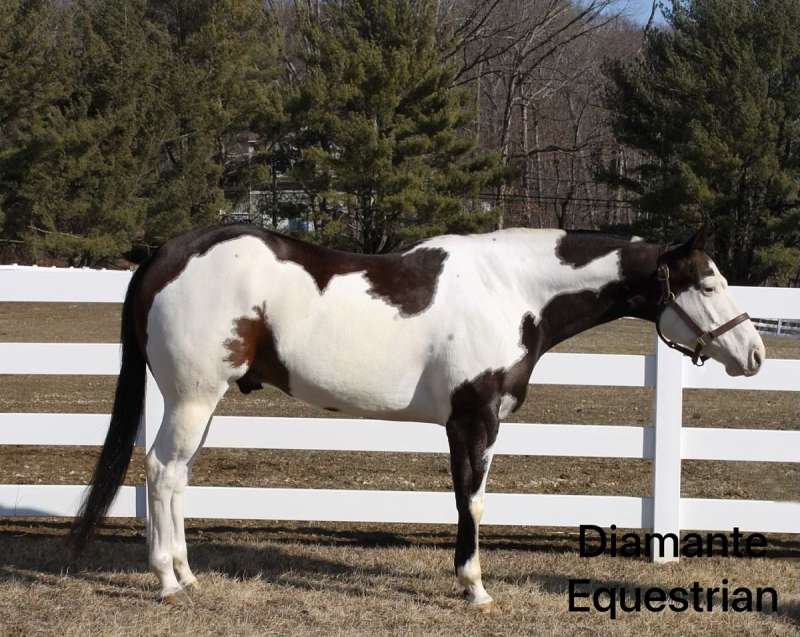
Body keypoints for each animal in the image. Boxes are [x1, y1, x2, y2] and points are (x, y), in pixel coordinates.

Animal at [70, 224, 765, 610]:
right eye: (707, 284)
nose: (754, 354)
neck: (511, 291)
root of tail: (168, 254)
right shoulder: (474, 421)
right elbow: (472, 501)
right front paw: (475, 588)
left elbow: (463, 500)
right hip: (192, 397)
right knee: (162, 473)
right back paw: (167, 582)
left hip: (200, 402)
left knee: (176, 478)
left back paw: (187, 576)